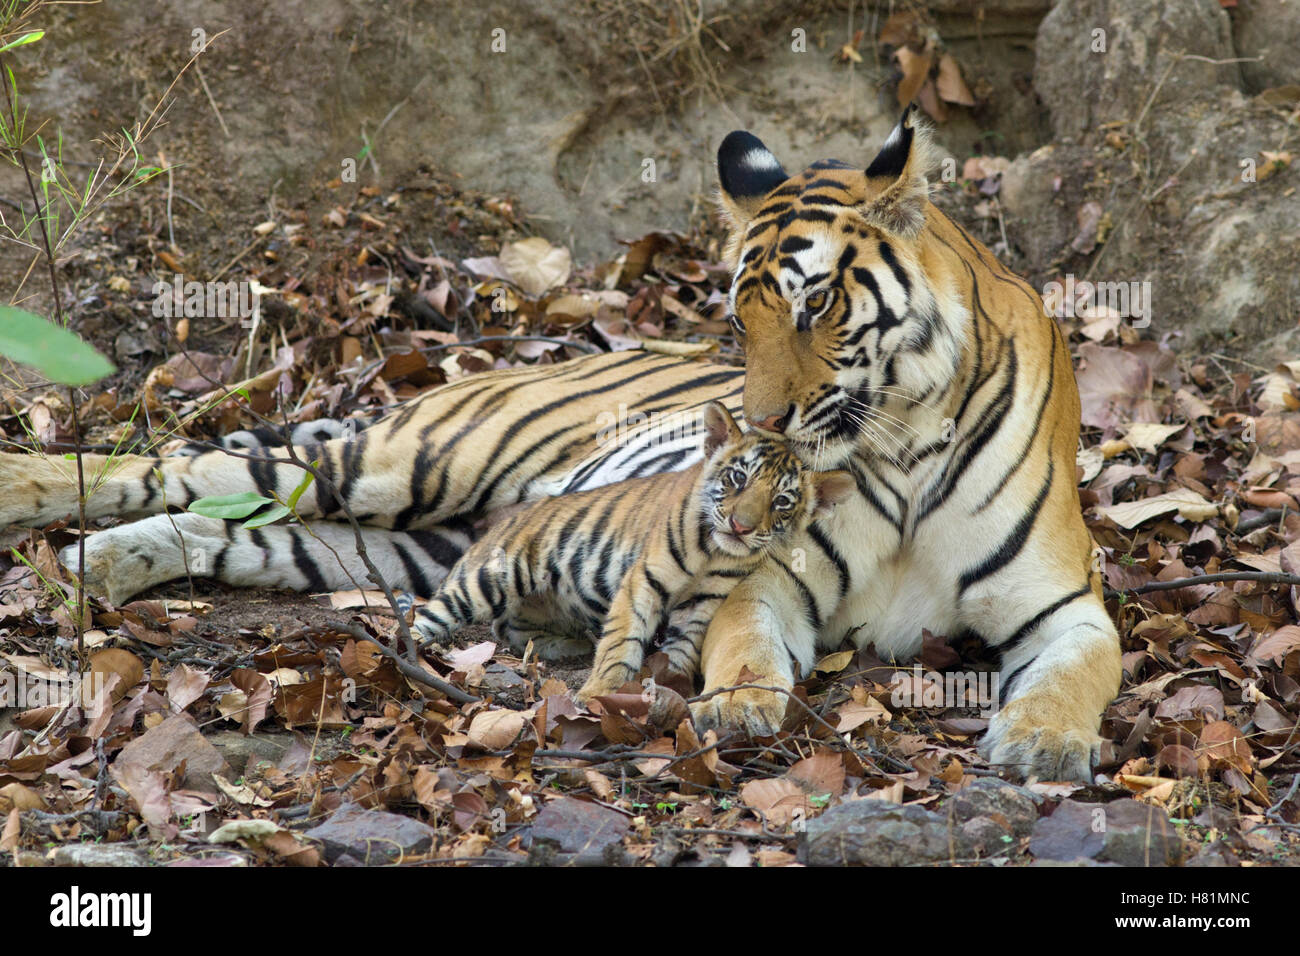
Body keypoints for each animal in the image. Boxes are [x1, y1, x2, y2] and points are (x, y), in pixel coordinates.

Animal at [409, 401, 853, 705]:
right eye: (738, 478)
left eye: (782, 502)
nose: (740, 526)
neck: (715, 552)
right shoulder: (645, 580)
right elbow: (622, 643)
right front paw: (597, 695)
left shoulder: (703, 601)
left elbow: (682, 649)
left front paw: (671, 686)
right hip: (491, 577)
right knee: (430, 615)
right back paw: (406, 649)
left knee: (508, 628)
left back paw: (570, 647)